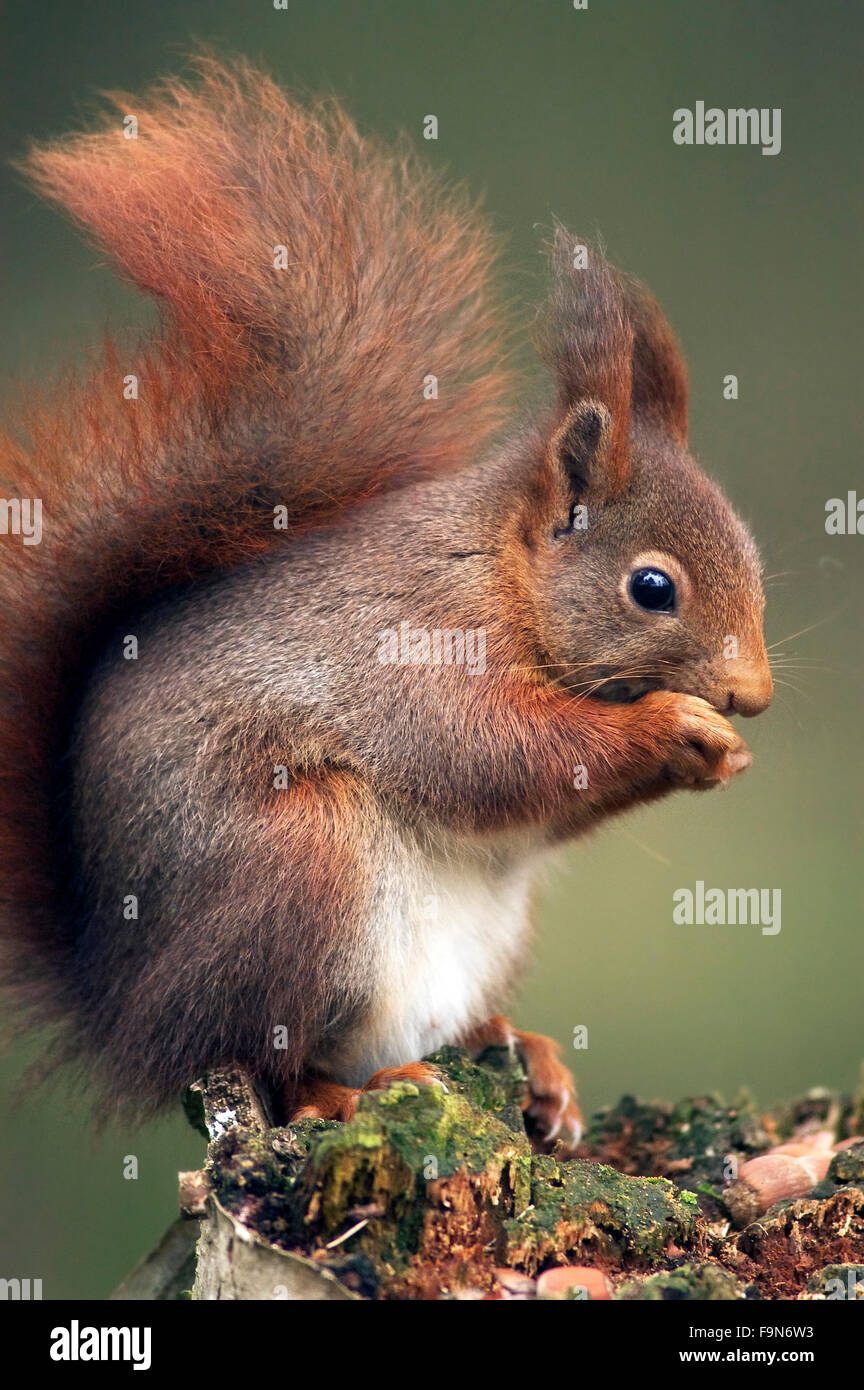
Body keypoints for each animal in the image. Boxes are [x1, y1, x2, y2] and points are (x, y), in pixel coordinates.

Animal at [0, 59, 772, 1147]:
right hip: (299, 866)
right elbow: (486, 753)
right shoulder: (416, 642)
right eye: (651, 587)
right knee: (262, 1060)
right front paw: (673, 726)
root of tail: (119, 1010)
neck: (501, 572)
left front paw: (720, 750)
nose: (754, 694)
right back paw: (336, 1094)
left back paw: (525, 1058)